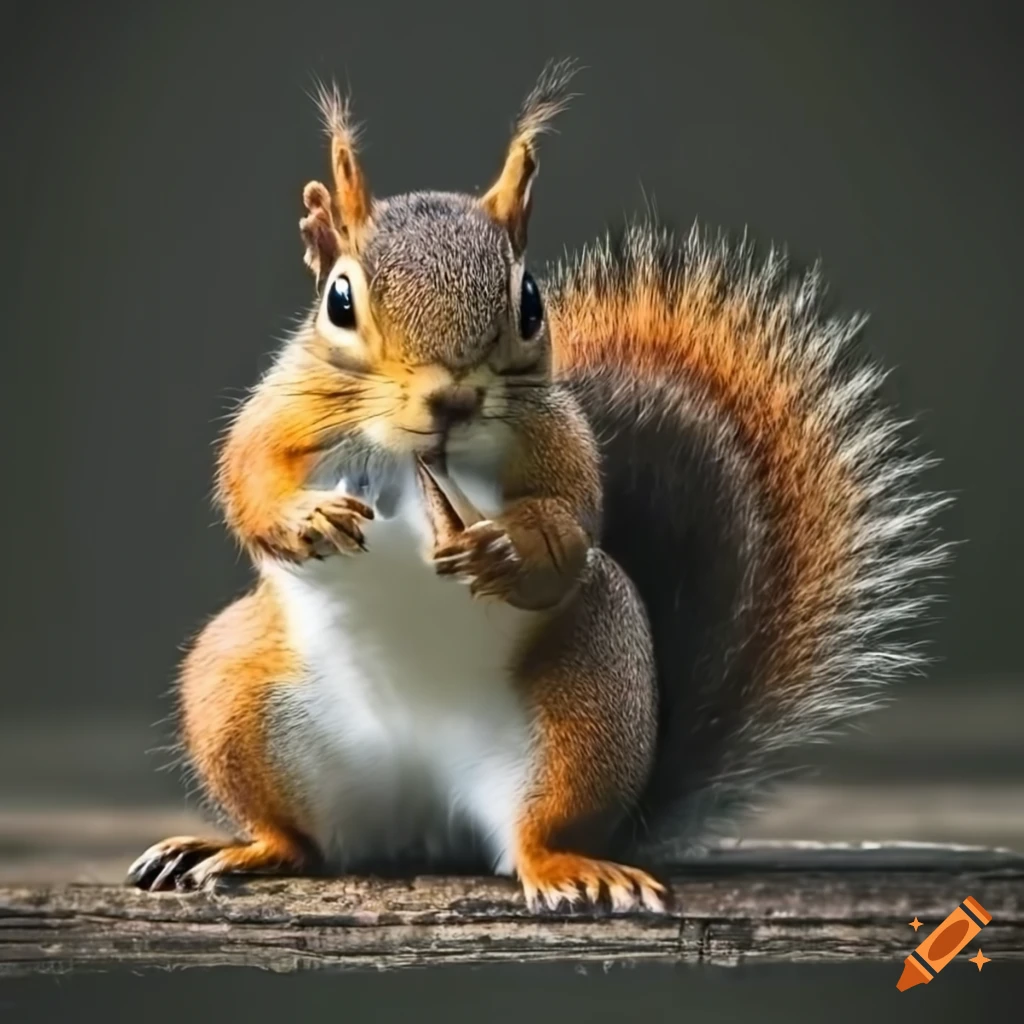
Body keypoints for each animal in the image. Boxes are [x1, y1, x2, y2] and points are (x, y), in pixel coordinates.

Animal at [127, 60, 949, 913]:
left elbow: (571, 524)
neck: (416, 460)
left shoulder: (559, 439)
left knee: (536, 832)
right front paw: (302, 519)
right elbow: (246, 475)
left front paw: (511, 550)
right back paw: (237, 848)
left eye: (529, 304)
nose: (451, 400)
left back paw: (569, 867)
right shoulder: (282, 408)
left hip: (586, 701)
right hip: (234, 690)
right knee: (304, 840)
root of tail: (425, 823)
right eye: (339, 302)